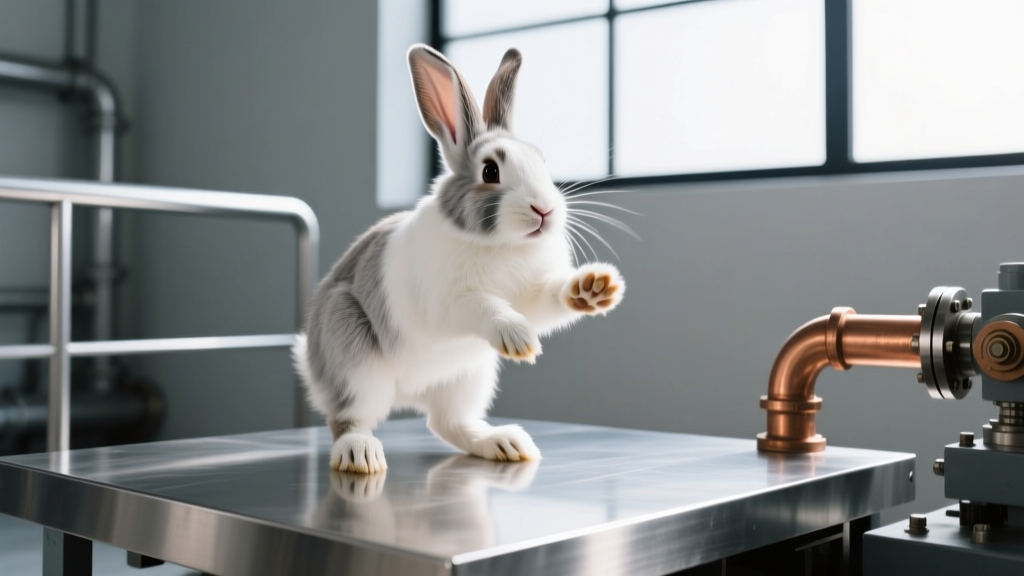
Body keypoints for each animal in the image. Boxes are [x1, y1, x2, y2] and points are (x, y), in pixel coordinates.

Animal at [292, 43, 625, 474]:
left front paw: (594, 288)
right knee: (349, 417)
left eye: (541, 161)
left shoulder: (531, 295)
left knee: (447, 424)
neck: (502, 244)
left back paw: (503, 443)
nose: (545, 210)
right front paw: (518, 338)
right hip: (353, 357)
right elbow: (483, 306)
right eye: (490, 170)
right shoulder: (447, 303)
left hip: (468, 377)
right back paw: (360, 454)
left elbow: (549, 298)